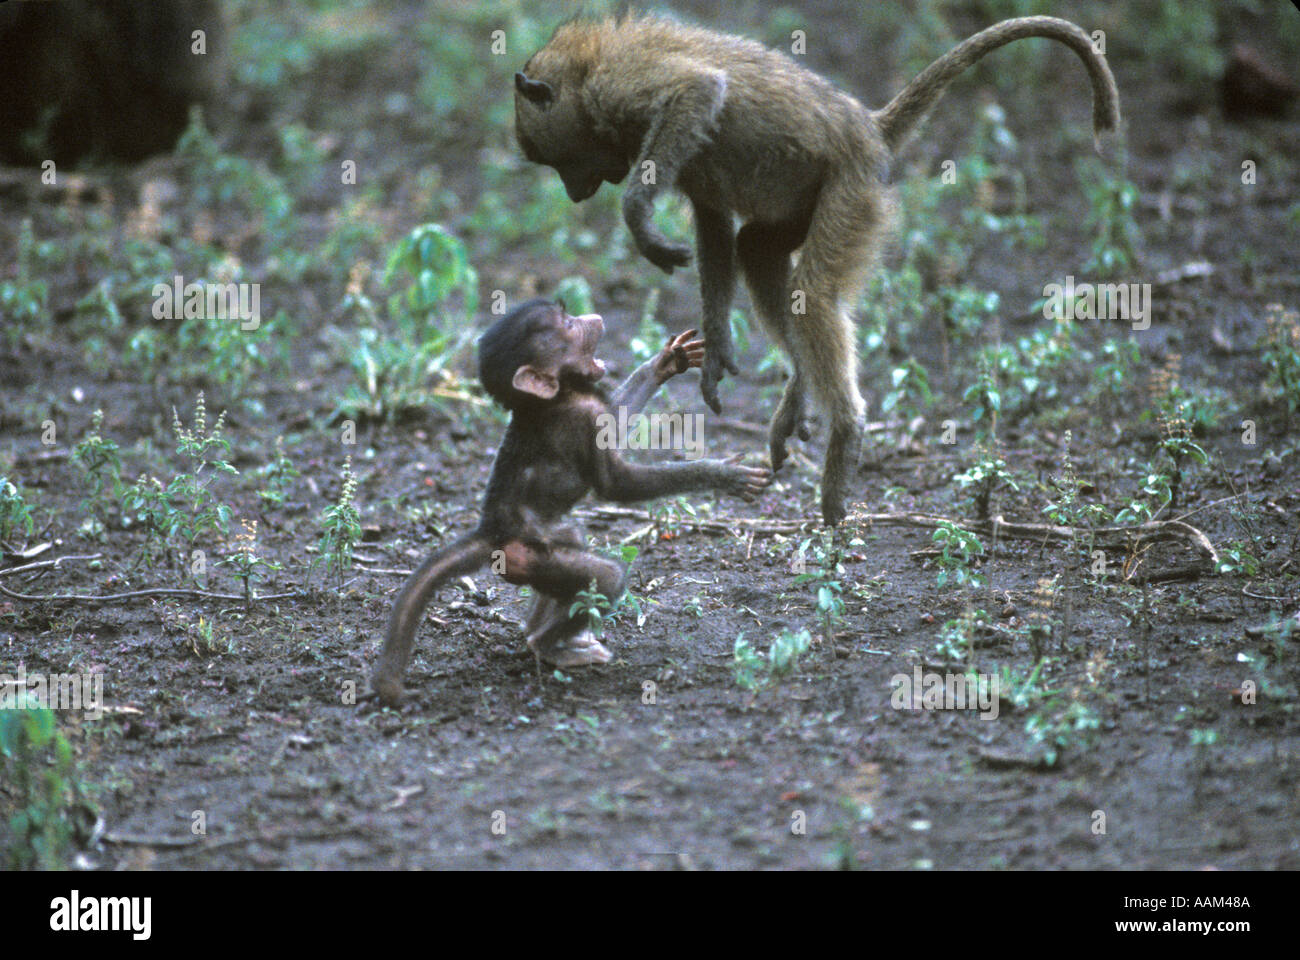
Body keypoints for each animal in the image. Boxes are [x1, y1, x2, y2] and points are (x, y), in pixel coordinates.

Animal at [371, 299, 772, 706]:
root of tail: (492, 530)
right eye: (568, 325)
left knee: (573, 547)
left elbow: (617, 421)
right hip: (526, 557)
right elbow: (615, 484)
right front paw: (722, 475)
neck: (556, 397)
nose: (593, 317)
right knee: (605, 577)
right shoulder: (584, 419)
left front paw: (665, 362)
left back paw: (549, 634)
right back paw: (546, 645)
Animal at [514, 14, 1121, 526]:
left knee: (815, 294)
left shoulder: (621, 86)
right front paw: (717, 349)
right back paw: (799, 390)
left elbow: (699, 91)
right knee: (756, 251)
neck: (587, 67)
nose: (575, 193)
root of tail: (869, 127)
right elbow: (714, 223)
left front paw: (639, 218)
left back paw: (846, 434)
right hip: (807, 198)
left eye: (556, 159)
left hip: (853, 192)